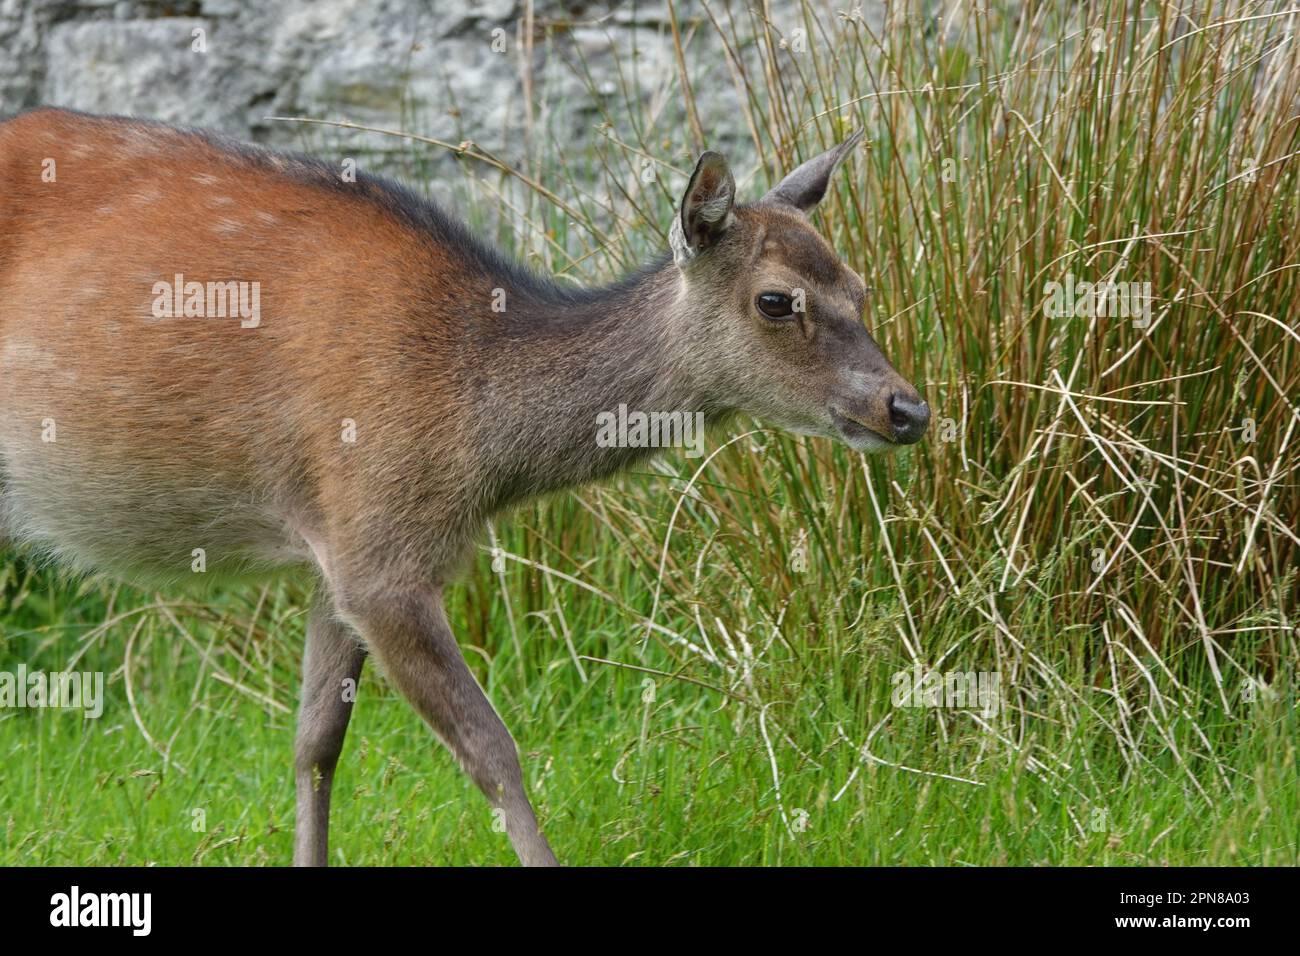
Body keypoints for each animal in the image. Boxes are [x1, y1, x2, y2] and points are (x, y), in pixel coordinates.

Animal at [0, 107, 930, 866]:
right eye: (777, 299)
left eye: (860, 286)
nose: (908, 408)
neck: (475, 449)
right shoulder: (381, 552)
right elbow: (492, 748)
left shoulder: (338, 546)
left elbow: (314, 744)